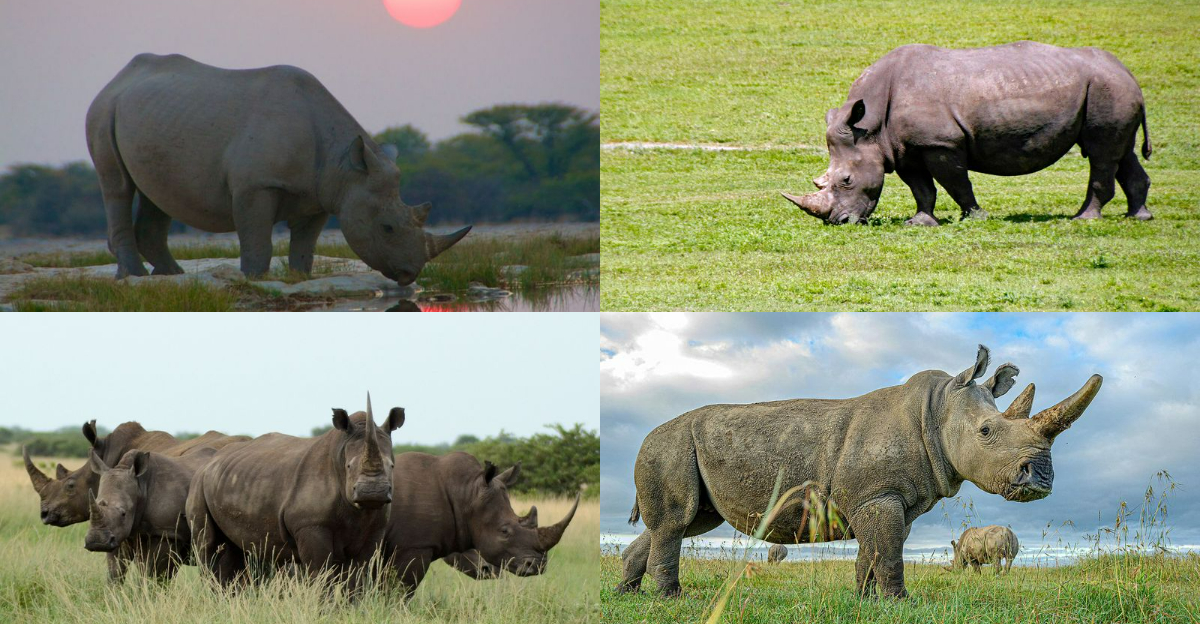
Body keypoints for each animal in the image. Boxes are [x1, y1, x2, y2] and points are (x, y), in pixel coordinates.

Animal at [84, 447, 222, 582]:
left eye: (123, 513)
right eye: (89, 511)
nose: (97, 542)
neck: (140, 486)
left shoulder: (166, 533)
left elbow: (154, 575)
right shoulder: (119, 534)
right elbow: (115, 572)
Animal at [86, 53, 471, 282]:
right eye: (388, 228)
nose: (410, 273)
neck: (345, 165)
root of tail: (118, 77)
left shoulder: (324, 192)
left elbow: (305, 246)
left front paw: (300, 279)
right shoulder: (256, 185)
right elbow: (258, 242)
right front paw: (256, 280)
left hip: (153, 116)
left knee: (157, 195)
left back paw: (171, 277)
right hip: (103, 110)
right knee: (117, 186)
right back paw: (134, 278)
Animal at [187, 397, 404, 591]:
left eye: (392, 466)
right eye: (349, 466)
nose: (372, 492)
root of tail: (210, 462)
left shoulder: (375, 527)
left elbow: (358, 576)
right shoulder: (311, 525)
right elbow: (320, 573)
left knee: (235, 553)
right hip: (198, 485)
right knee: (208, 549)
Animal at [617, 345, 1101, 598]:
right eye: (986, 432)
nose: (1041, 481)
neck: (939, 409)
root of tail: (648, 436)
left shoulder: (890, 498)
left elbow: (876, 550)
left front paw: (866, 600)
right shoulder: (878, 494)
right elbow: (887, 551)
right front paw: (900, 604)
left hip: (680, 448)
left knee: (687, 522)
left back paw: (630, 594)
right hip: (669, 445)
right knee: (677, 521)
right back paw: (671, 599)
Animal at [782, 41, 1152, 225]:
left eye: (846, 180)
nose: (839, 222)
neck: (869, 126)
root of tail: (1126, 70)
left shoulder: (940, 142)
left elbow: (956, 183)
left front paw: (975, 217)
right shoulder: (903, 148)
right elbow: (922, 188)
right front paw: (920, 223)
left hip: (1107, 89)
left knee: (1101, 152)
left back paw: (1083, 219)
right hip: (1112, 89)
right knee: (1121, 152)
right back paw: (1139, 217)